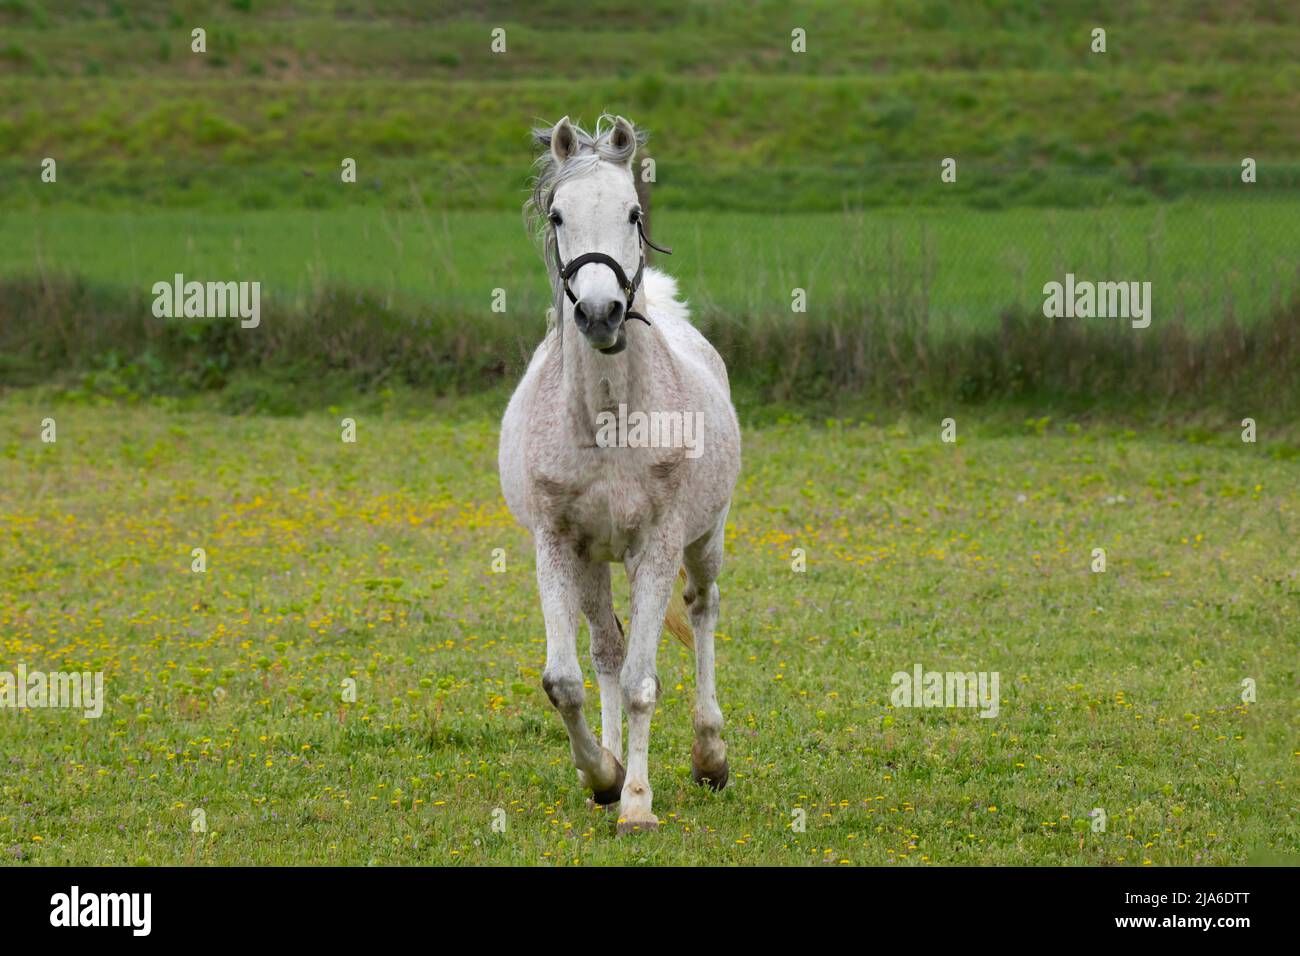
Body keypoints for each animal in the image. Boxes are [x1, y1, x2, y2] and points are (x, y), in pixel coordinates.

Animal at [498, 115, 741, 833]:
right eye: (557, 215)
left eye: (634, 213)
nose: (602, 313)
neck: (608, 419)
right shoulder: (558, 546)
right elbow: (566, 679)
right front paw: (602, 777)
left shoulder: (655, 547)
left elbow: (641, 682)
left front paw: (636, 804)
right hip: (592, 561)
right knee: (605, 649)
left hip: (705, 540)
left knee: (704, 612)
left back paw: (709, 756)